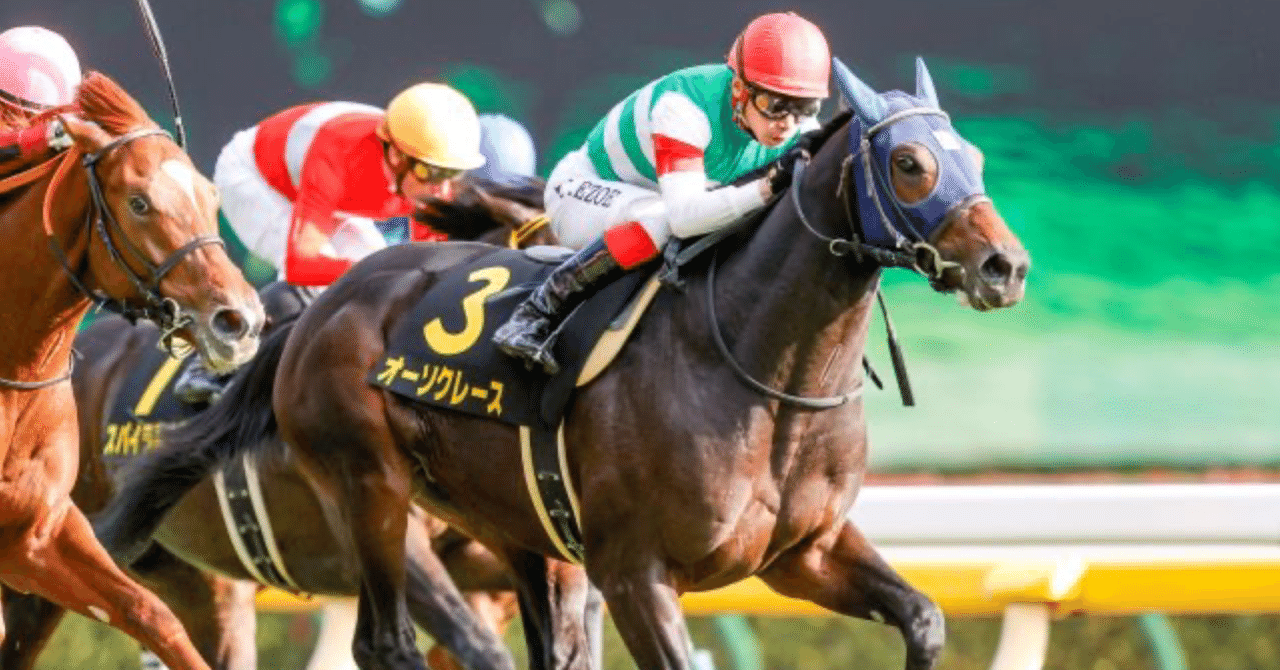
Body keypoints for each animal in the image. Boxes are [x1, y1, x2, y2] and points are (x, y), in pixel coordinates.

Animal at [96, 60, 1030, 670]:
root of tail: (326, 310)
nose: (1005, 267)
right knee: (387, 642)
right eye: (910, 164)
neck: (764, 374)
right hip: (370, 492)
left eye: (977, 160)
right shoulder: (634, 570)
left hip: (508, 531)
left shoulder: (804, 554)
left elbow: (924, 618)